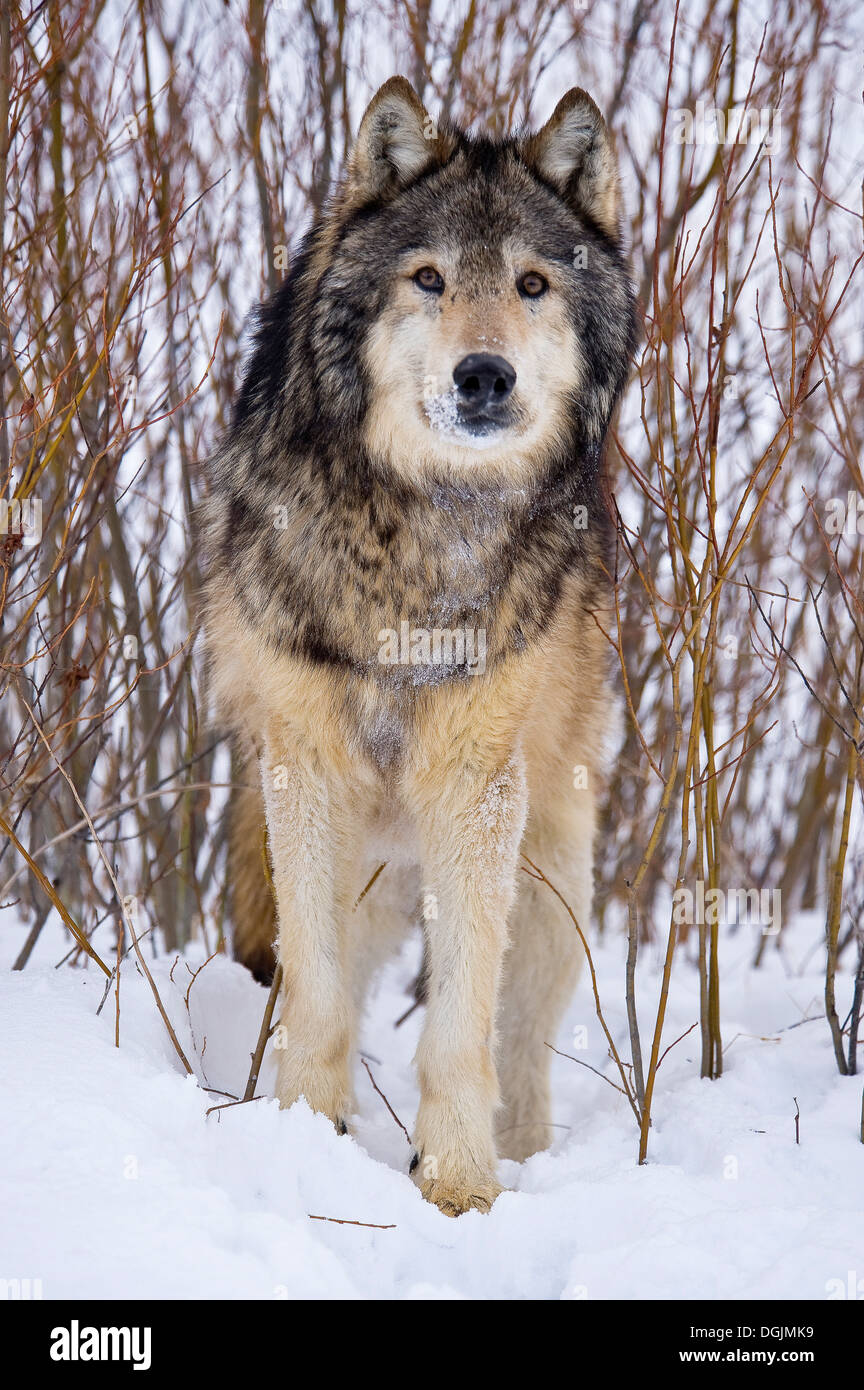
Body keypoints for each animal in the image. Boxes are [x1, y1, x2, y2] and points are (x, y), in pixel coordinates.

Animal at [204, 76, 636, 1216]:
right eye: (429, 278)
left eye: (531, 284)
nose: (483, 375)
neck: (421, 533)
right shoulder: (304, 775)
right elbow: (315, 1004)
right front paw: (301, 1143)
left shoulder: (474, 790)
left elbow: (460, 1029)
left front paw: (461, 1190)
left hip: (553, 883)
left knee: (522, 1041)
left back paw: (521, 1153)